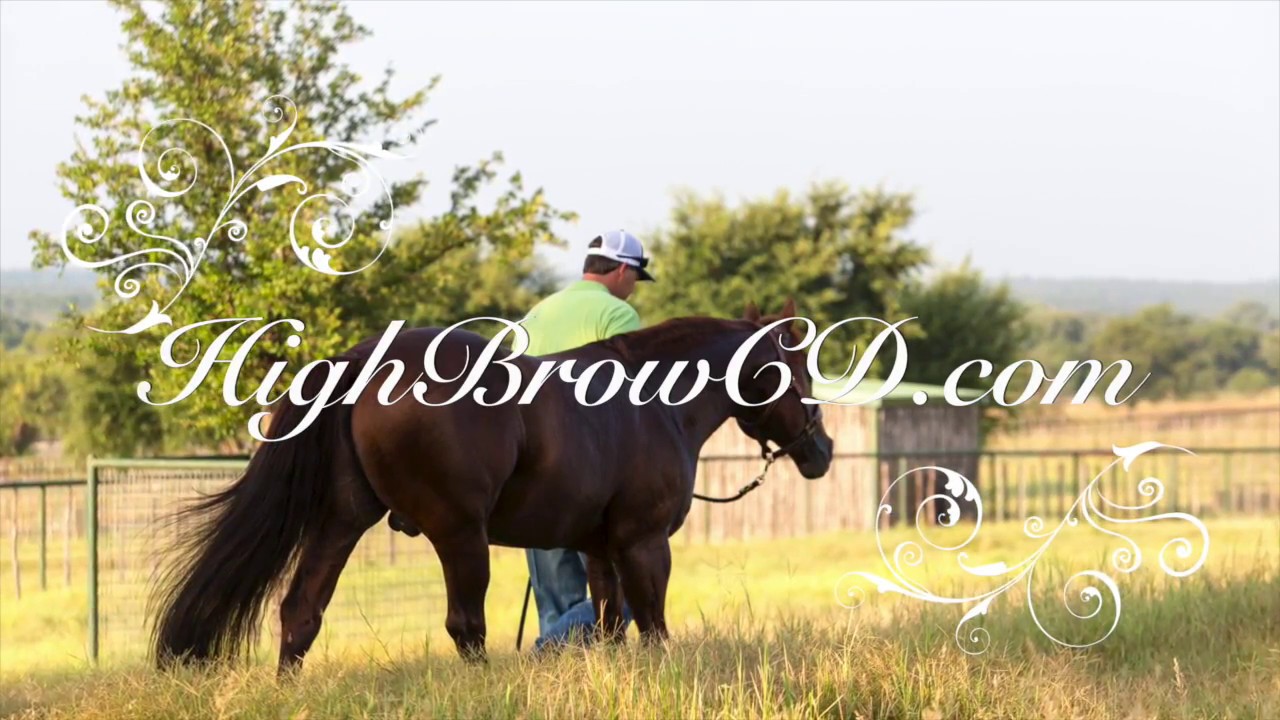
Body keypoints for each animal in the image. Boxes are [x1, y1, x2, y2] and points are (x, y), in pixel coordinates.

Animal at [150, 300, 834, 673]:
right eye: (799, 367)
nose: (821, 450)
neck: (653, 403)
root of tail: (365, 358)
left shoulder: (600, 548)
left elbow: (610, 624)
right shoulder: (643, 544)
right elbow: (653, 626)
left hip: (341, 521)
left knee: (301, 613)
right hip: (459, 535)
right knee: (465, 625)